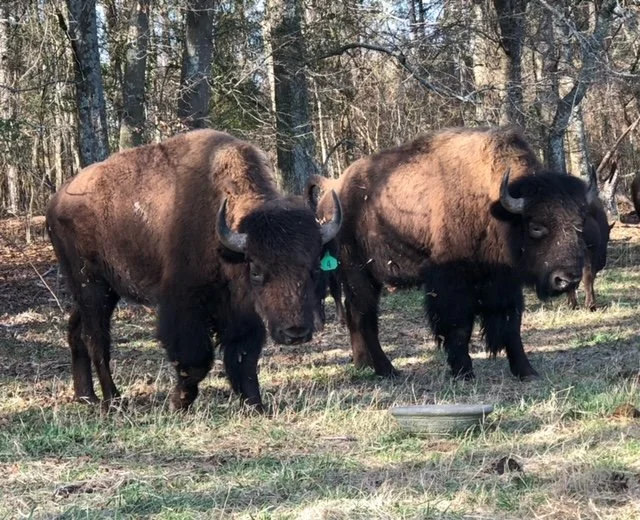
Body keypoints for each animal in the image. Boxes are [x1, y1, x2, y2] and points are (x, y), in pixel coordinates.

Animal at [46, 129, 341, 411]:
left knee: (76, 331)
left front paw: (256, 407)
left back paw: (86, 396)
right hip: (91, 285)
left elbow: (243, 360)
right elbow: (196, 359)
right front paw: (179, 402)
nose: (295, 332)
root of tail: (56, 201)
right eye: (256, 270)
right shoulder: (183, 304)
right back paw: (113, 401)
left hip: (101, 290)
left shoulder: (243, 312)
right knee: (97, 341)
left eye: (315, 268)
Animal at [310, 127, 596, 380]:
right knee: (364, 316)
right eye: (536, 226)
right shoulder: (452, 282)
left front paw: (526, 371)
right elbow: (458, 326)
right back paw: (387, 370)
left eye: (580, 224)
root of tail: (331, 195)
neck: (496, 209)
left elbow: (512, 325)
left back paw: (363, 364)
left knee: (355, 315)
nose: (567, 279)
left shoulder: (505, 283)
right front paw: (463, 372)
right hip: (358, 273)